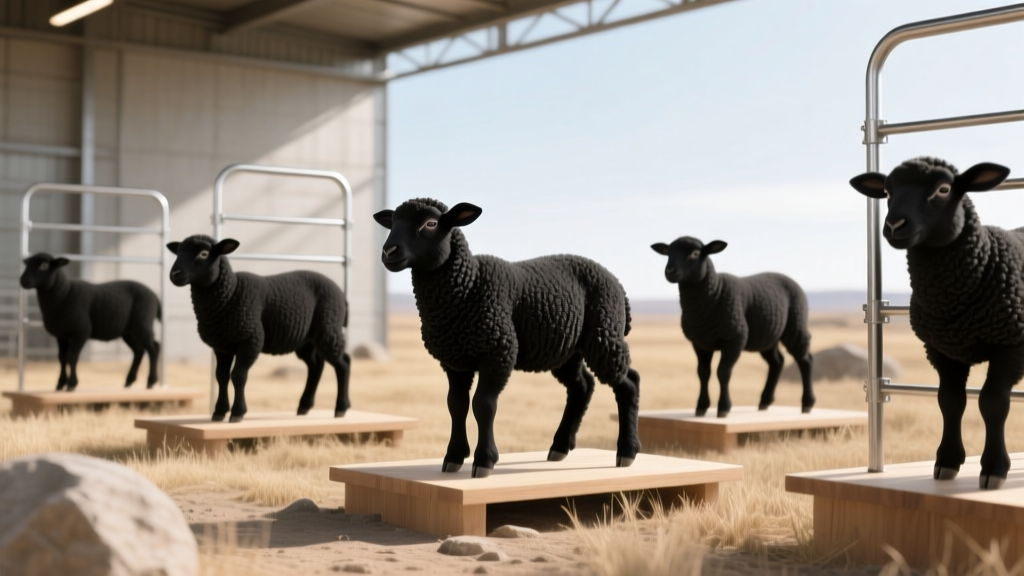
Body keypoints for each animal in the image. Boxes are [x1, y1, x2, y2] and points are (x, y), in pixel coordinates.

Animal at [19, 252, 161, 391]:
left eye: (44, 266)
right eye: (27, 264)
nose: (23, 281)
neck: (65, 293)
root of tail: (154, 294)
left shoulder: (81, 332)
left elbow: (72, 357)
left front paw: (72, 384)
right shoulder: (61, 335)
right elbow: (62, 358)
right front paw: (60, 384)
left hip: (142, 324)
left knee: (154, 348)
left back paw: (151, 382)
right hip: (129, 331)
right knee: (139, 350)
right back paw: (129, 381)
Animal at [166, 235, 350, 423]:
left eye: (203, 254)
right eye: (178, 252)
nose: (174, 274)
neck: (231, 294)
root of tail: (341, 294)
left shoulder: (251, 340)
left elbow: (238, 375)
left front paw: (237, 413)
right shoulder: (222, 346)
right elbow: (221, 376)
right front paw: (219, 412)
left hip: (328, 329)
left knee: (343, 363)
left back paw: (340, 409)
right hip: (307, 340)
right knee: (316, 366)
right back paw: (304, 406)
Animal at [373, 198, 641, 478]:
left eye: (431, 223)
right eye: (392, 223)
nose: (388, 252)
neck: (469, 285)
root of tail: (617, 284)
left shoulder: (498, 352)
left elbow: (484, 405)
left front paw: (484, 461)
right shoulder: (455, 361)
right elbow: (456, 405)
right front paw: (454, 457)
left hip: (604, 334)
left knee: (628, 384)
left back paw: (626, 453)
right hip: (567, 350)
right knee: (582, 387)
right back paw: (559, 447)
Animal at [650, 238, 814, 418]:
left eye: (695, 253)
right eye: (668, 253)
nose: (669, 271)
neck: (715, 292)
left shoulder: (735, 338)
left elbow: (723, 372)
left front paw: (723, 408)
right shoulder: (700, 342)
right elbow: (703, 372)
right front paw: (701, 407)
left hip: (795, 325)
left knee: (805, 360)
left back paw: (807, 404)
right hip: (767, 336)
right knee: (777, 362)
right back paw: (764, 402)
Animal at [850, 156, 1020, 490]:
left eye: (943, 189)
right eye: (886, 192)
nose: (894, 225)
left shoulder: (1010, 345)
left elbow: (993, 402)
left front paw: (994, 468)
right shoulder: (941, 349)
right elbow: (950, 401)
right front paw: (947, 462)